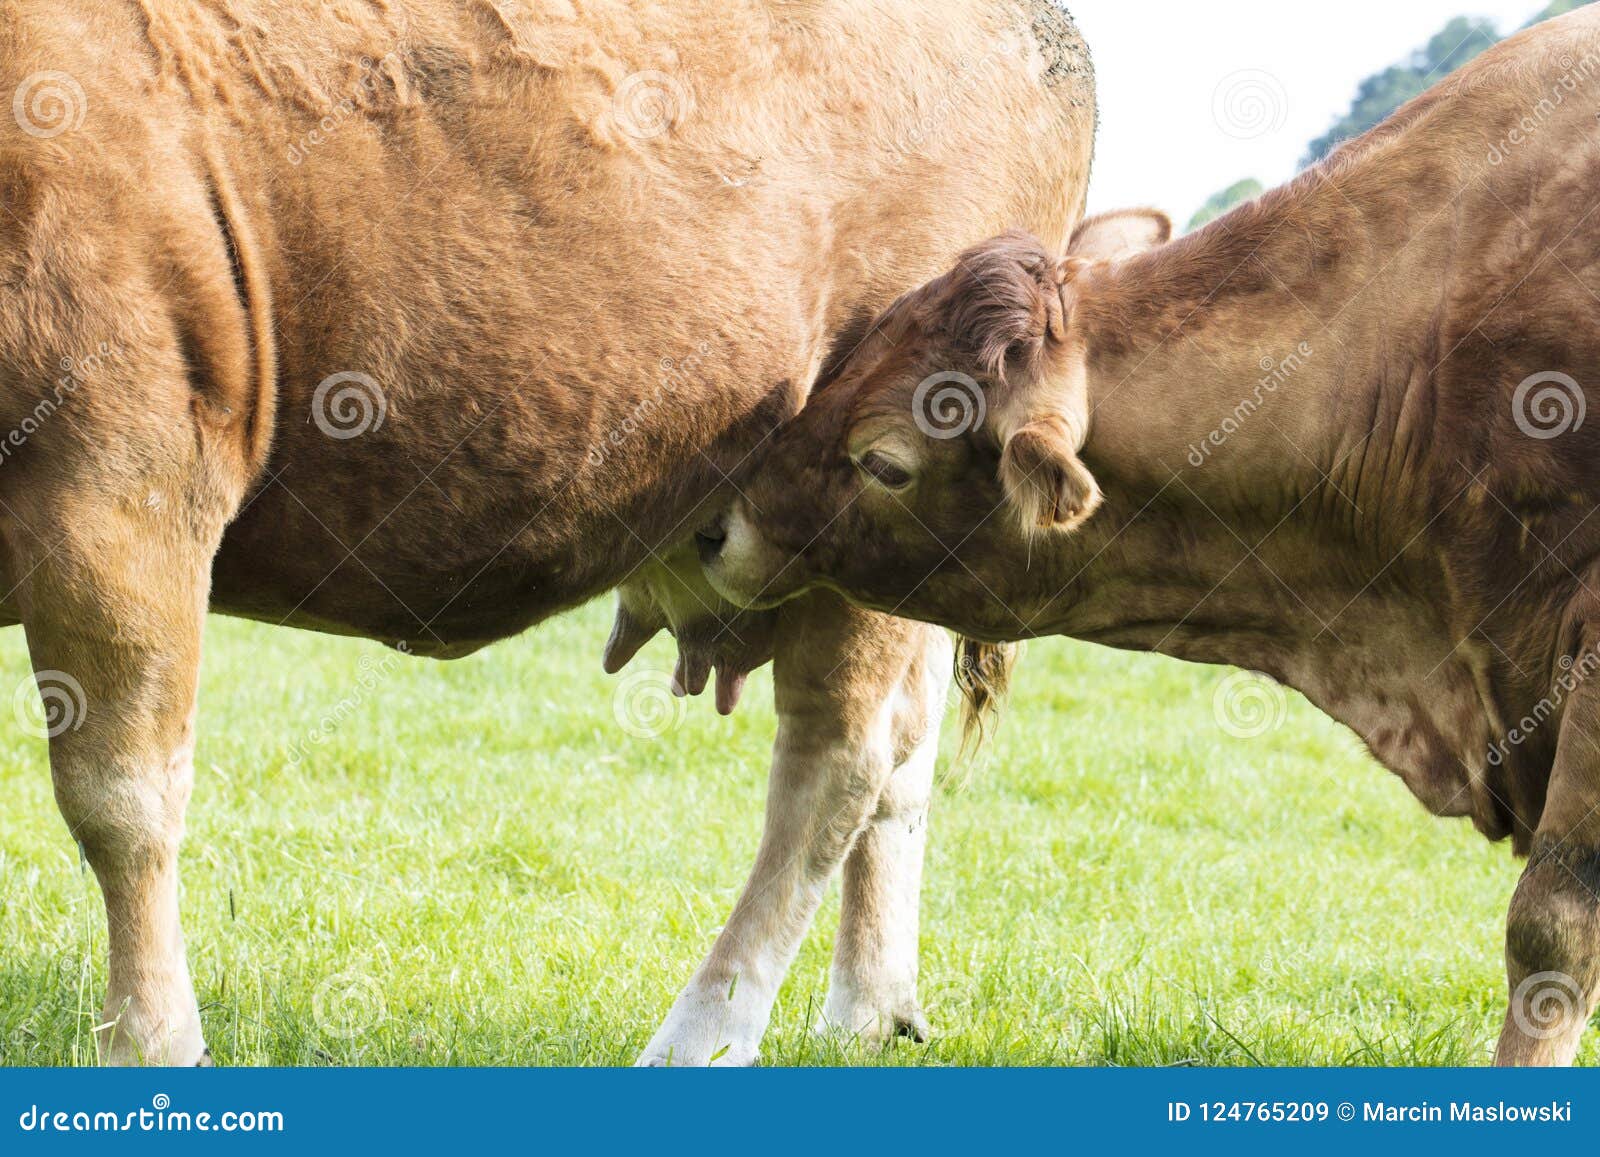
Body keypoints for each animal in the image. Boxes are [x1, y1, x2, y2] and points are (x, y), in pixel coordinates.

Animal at [0, 0, 1095, 1065]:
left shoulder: (121, 473)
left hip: (859, 513)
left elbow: (121, 800)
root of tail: (1050, 31)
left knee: (838, 761)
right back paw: (870, 1008)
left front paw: (150, 1044)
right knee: (901, 757)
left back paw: (706, 1033)